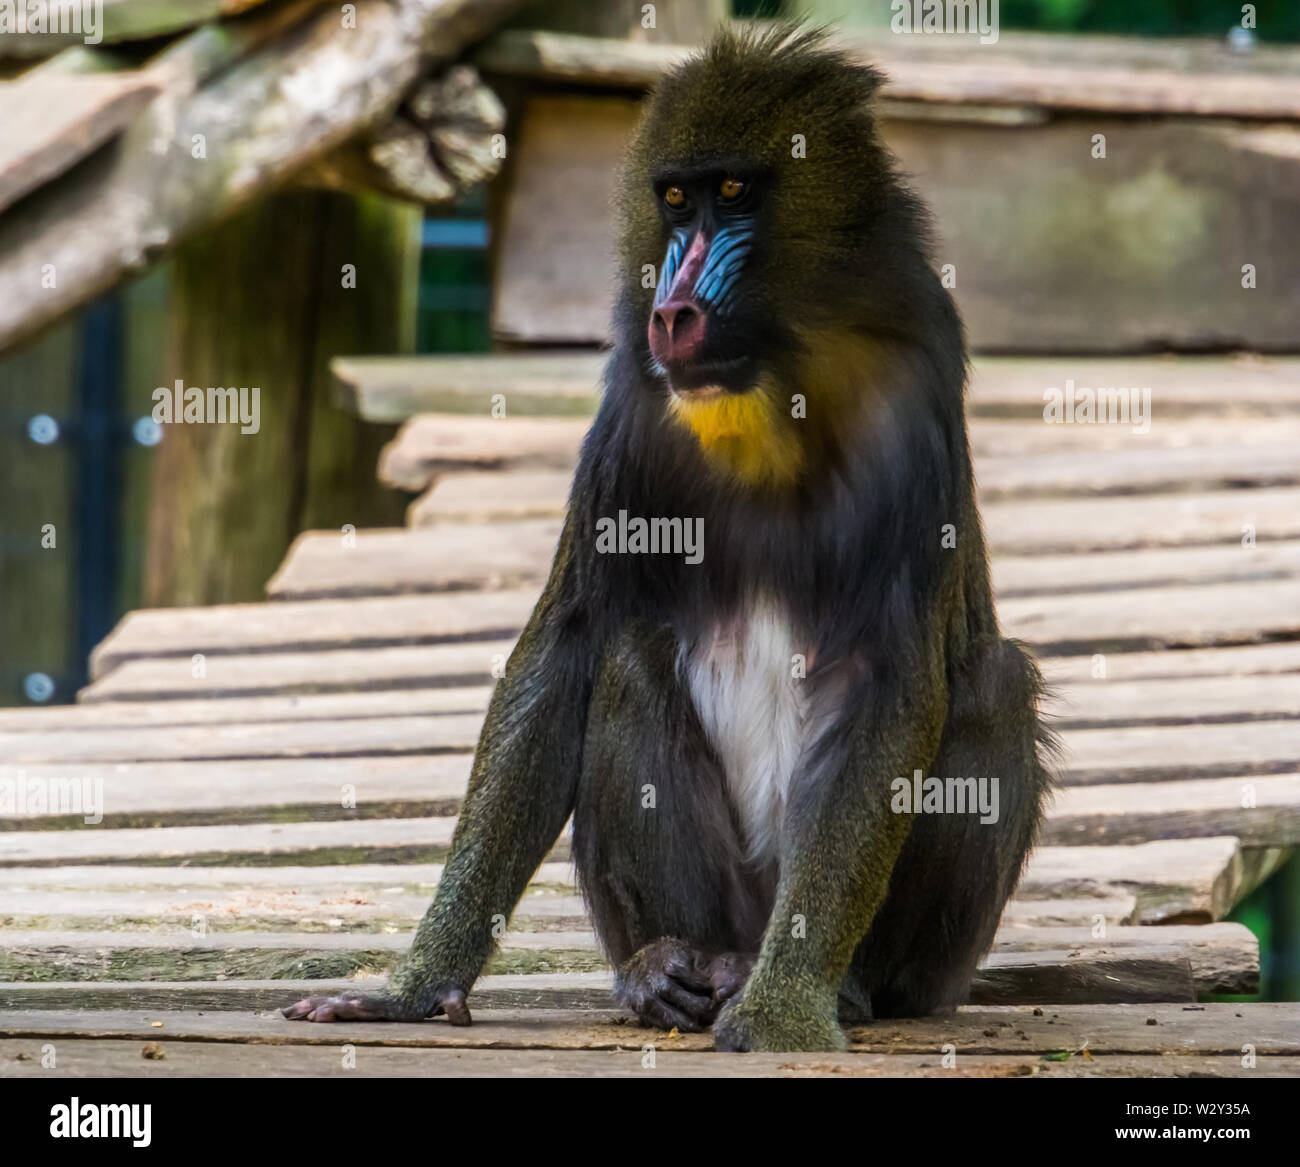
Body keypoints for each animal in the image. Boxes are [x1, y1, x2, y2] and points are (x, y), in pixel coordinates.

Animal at [283, 25, 1055, 1052]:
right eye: (677, 202)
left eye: (735, 194)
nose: (675, 310)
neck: (775, 379)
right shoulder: (636, 405)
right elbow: (567, 641)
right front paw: (412, 985)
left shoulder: (912, 388)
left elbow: (889, 680)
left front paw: (784, 1010)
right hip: (722, 898)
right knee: (626, 659)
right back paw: (664, 969)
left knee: (995, 682)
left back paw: (836, 987)